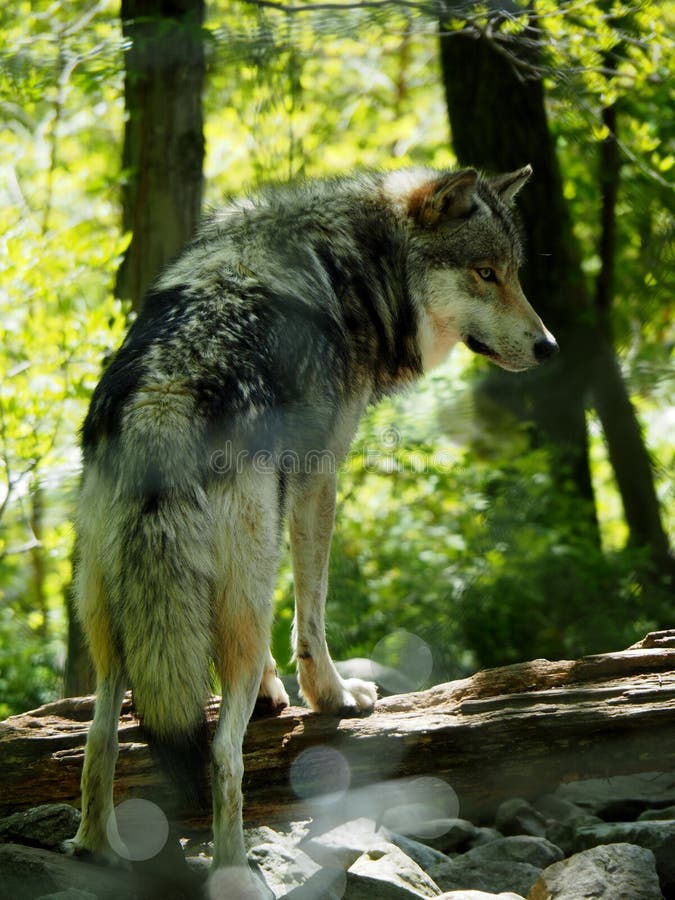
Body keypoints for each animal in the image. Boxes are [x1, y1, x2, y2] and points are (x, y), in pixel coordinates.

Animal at [65, 165, 557, 893]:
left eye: (514, 272)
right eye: (485, 273)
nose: (550, 346)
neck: (362, 262)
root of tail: (163, 404)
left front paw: (280, 694)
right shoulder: (318, 479)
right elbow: (312, 614)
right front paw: (333, 696)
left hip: (116, 628)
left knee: (99, 738)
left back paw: (95, 852)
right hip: (233, 592)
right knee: (221, 753)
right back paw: (236, 872)